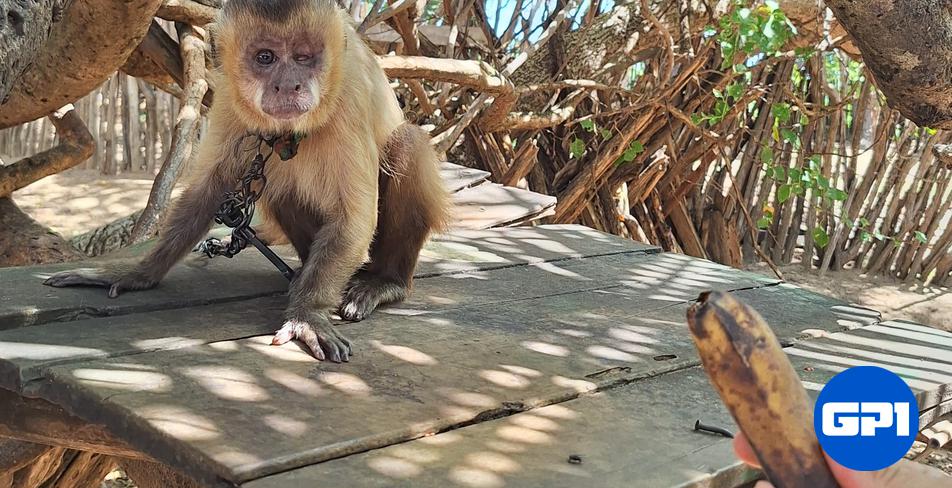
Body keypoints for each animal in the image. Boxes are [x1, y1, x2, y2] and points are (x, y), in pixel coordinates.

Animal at [43, 0, 450, 363]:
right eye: (265, 57)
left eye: (304, 57)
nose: (289, 85)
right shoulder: (227, 95)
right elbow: (209, 190)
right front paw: (138, 273)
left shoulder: (348, 97)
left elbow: (354, 218)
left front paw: (308, 314)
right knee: (282, 187)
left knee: (407, 143)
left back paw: (384, 281)